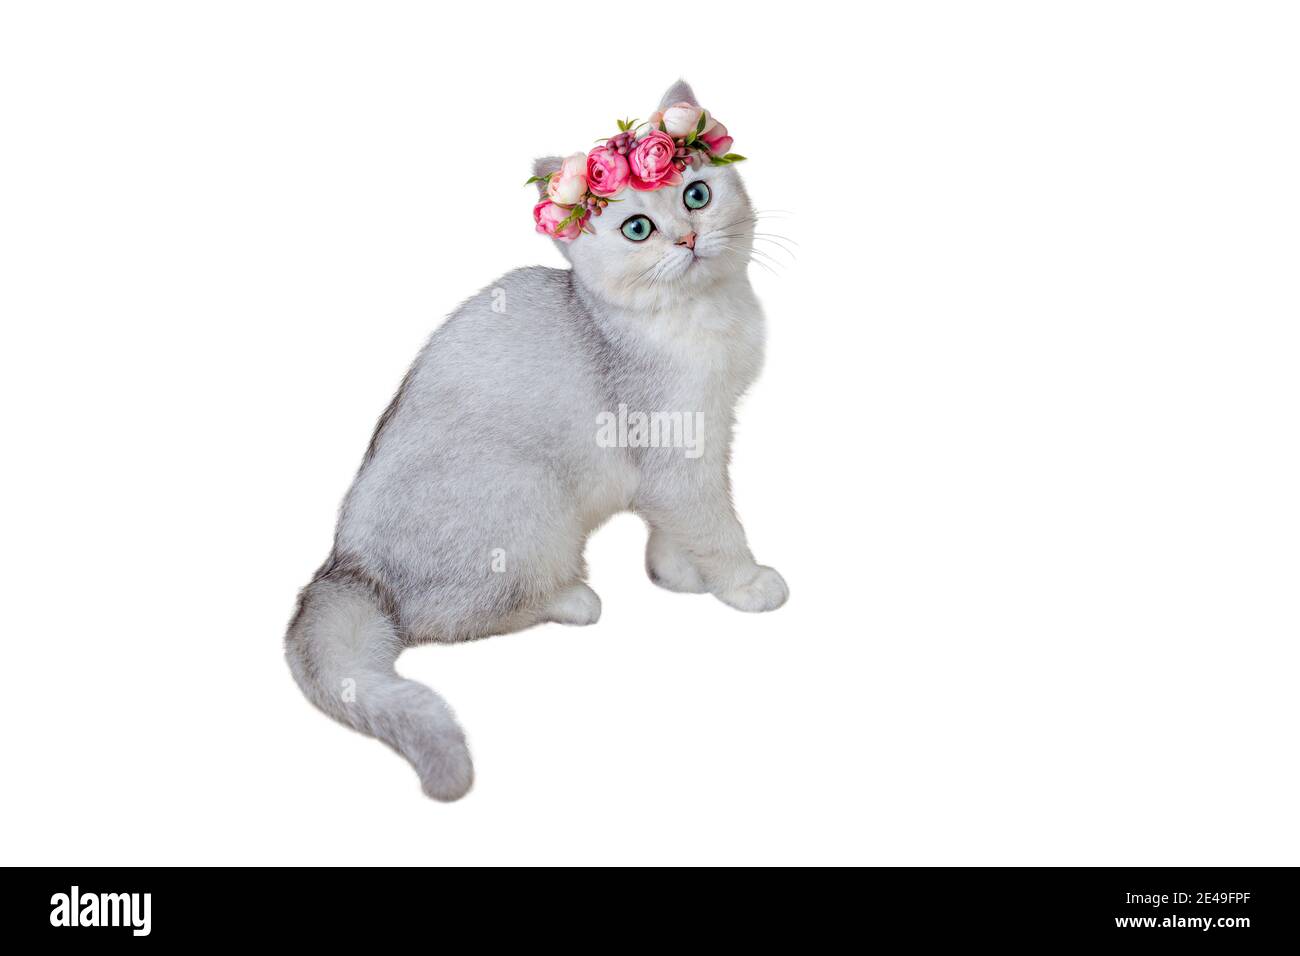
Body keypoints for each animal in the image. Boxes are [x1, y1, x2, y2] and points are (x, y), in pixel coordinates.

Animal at [286, 82, 785, 801]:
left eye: (696, 194)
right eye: (638, 228)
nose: (688, 237)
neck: (703, 317)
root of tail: (344, 565)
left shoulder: (699, 442)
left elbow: (673, 529)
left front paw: (675, 575)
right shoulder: (678, 449)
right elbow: (717, 527)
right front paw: (744, 583)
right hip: (529, 495)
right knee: (445, 618)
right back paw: (571, 599)